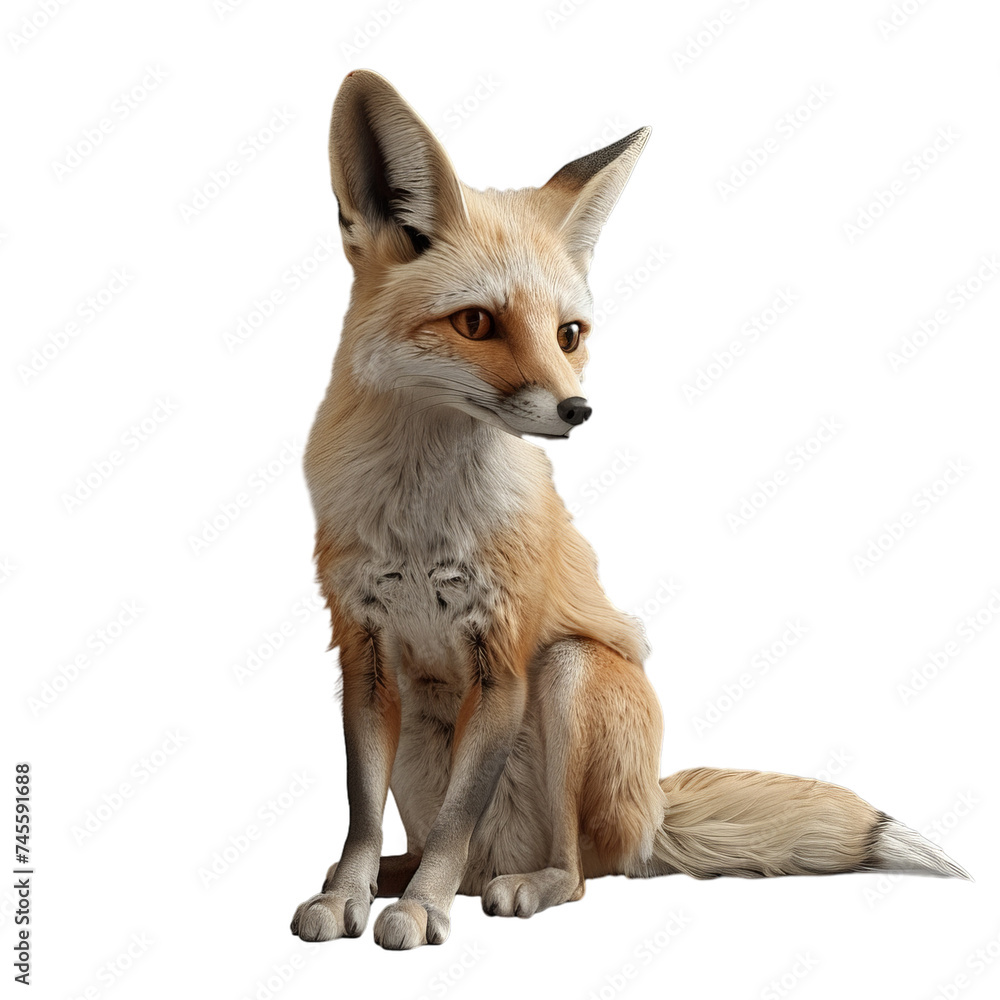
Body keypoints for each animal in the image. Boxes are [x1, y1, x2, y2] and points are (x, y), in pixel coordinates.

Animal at [290, 69, 970, 951]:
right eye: (476, 322)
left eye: (569, 334)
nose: (578, 410)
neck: (419, 518)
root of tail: (652, 812)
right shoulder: (363, 656)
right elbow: (362, 816)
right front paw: (352, 892)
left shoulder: (504, 658)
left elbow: (454, 824)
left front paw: (422, 912)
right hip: (425, 730)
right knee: (449, 844)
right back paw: (403, 878)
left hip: (569, 674)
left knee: (573, 871)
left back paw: (515, 886)